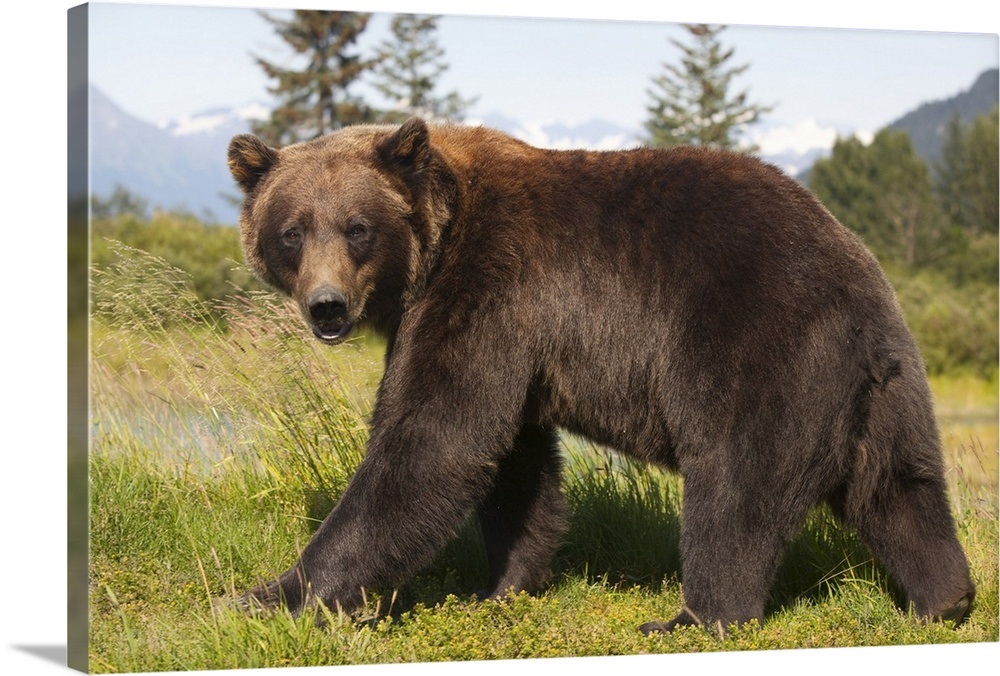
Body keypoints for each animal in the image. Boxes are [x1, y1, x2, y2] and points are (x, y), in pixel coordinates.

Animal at [226, 117, 975, 634]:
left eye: (357, 227)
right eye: (292, 231)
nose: (327, 305)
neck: (431, 255)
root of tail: (858, 282)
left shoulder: (489, 290)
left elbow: (433, 442)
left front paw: (270, 595)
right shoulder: (514, 341)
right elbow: (514, 463)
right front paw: (503, 586)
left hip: (760, 349)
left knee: (734, 487)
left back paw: (691, 617)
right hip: (886, 386)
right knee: (899, 487)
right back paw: (942, 599)